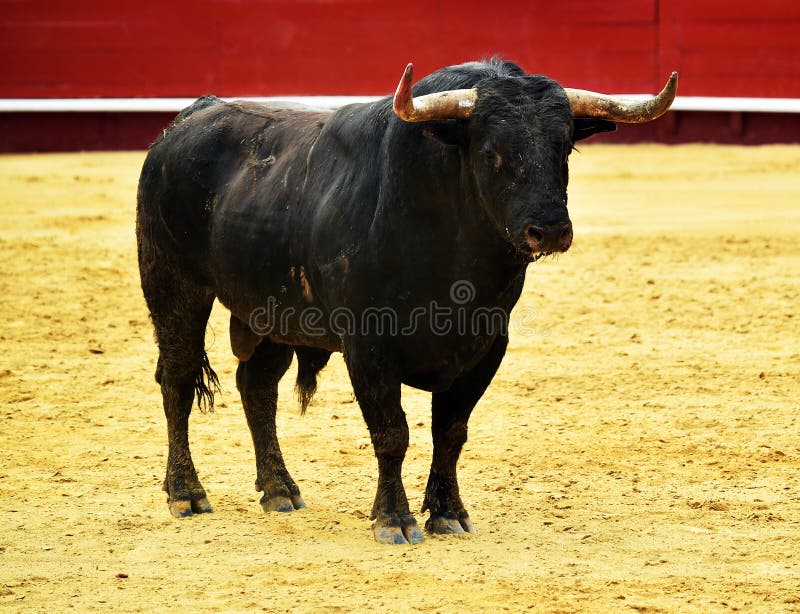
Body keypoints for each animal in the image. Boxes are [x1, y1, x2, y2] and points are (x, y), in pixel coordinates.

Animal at [136, 59, 677, 544]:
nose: (549, 230)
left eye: (564, 146)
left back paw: (279, 490)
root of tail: (188, 118)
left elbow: (451, 433)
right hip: (173, 283)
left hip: (270, 312)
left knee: (257, 386)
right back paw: (186, 493)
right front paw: (394, 520)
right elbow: (392, 433)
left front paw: (449, 513)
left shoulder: (485, 347)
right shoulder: (368, 348)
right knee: (177, 379)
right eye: (491, 152)